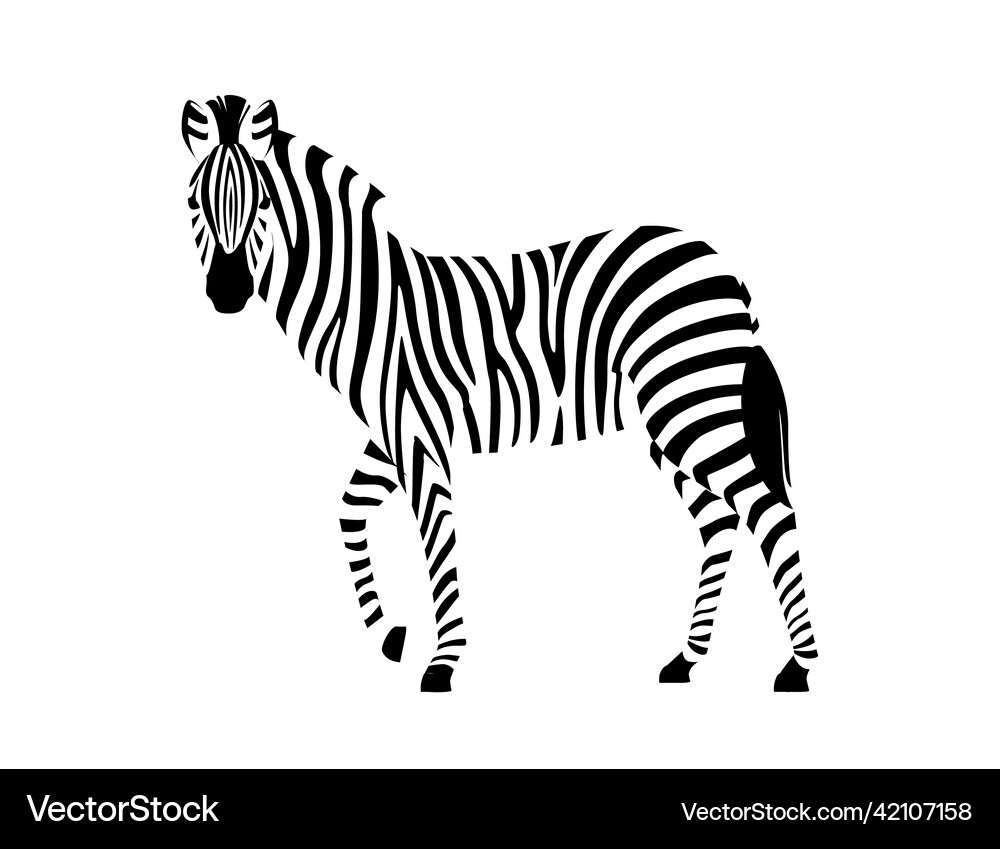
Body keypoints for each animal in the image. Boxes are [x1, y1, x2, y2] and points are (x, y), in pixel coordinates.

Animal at [181, 94, 818, 693]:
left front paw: (443, 663)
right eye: (196, 202)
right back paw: (686, 660)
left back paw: (797, 665)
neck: (368, 300)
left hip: (693, 402)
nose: (227, 292)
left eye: (263, 202)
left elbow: (438, 544)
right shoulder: (392, 437)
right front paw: (390, 634)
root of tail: (726, 269)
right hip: (672, 420)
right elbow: (348, 511)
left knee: (769, 512)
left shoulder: (418, 438)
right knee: (719, 521)